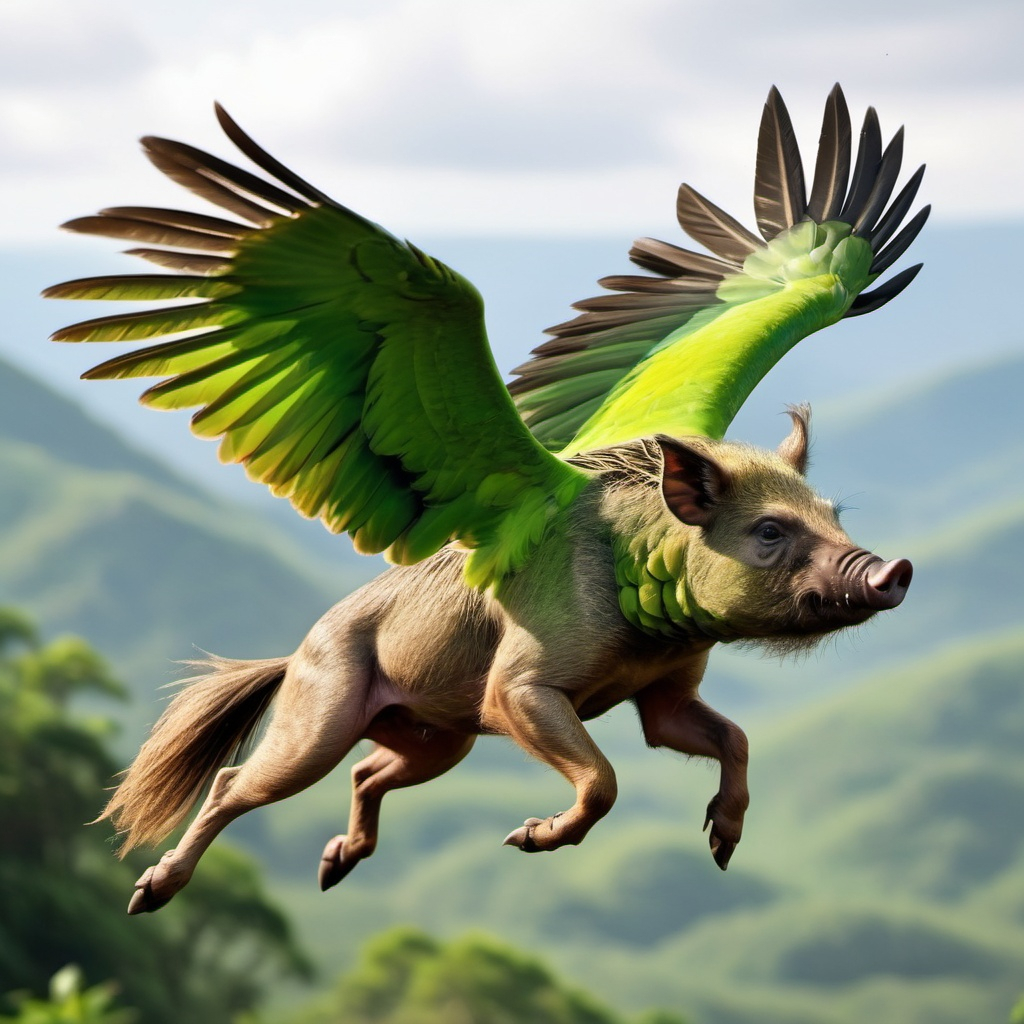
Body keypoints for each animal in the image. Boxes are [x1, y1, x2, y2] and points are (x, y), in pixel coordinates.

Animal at [103, 407, 911, 915]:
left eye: (833, 515)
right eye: (769, 531)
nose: (894, 568)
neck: (654, 627)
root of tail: (292, 652)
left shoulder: (664, 699)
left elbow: (731, 736)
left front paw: (720, 846)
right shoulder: (519, 688)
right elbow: (604, 779)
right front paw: (526, 837)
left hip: (438, 739)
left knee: (368, 772)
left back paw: (334, 868)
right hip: (325, 710)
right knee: (240, 781)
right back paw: (147, 895)